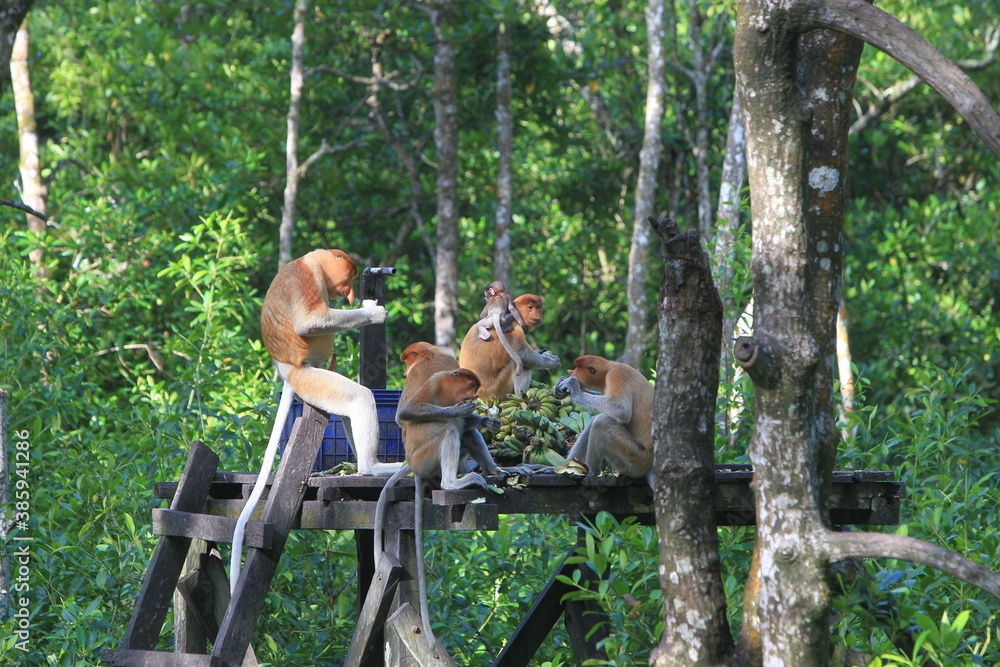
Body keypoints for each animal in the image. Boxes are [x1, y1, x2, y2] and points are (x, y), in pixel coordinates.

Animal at [230, 249, 396, 593]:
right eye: (346, 279)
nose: (348, 294)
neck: (312, 261)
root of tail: (286, 371)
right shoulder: (308, 278)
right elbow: (311, 322)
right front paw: (373, 312)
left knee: (348, 410)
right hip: (310, 379)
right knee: (359, 399)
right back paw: (372, 468)